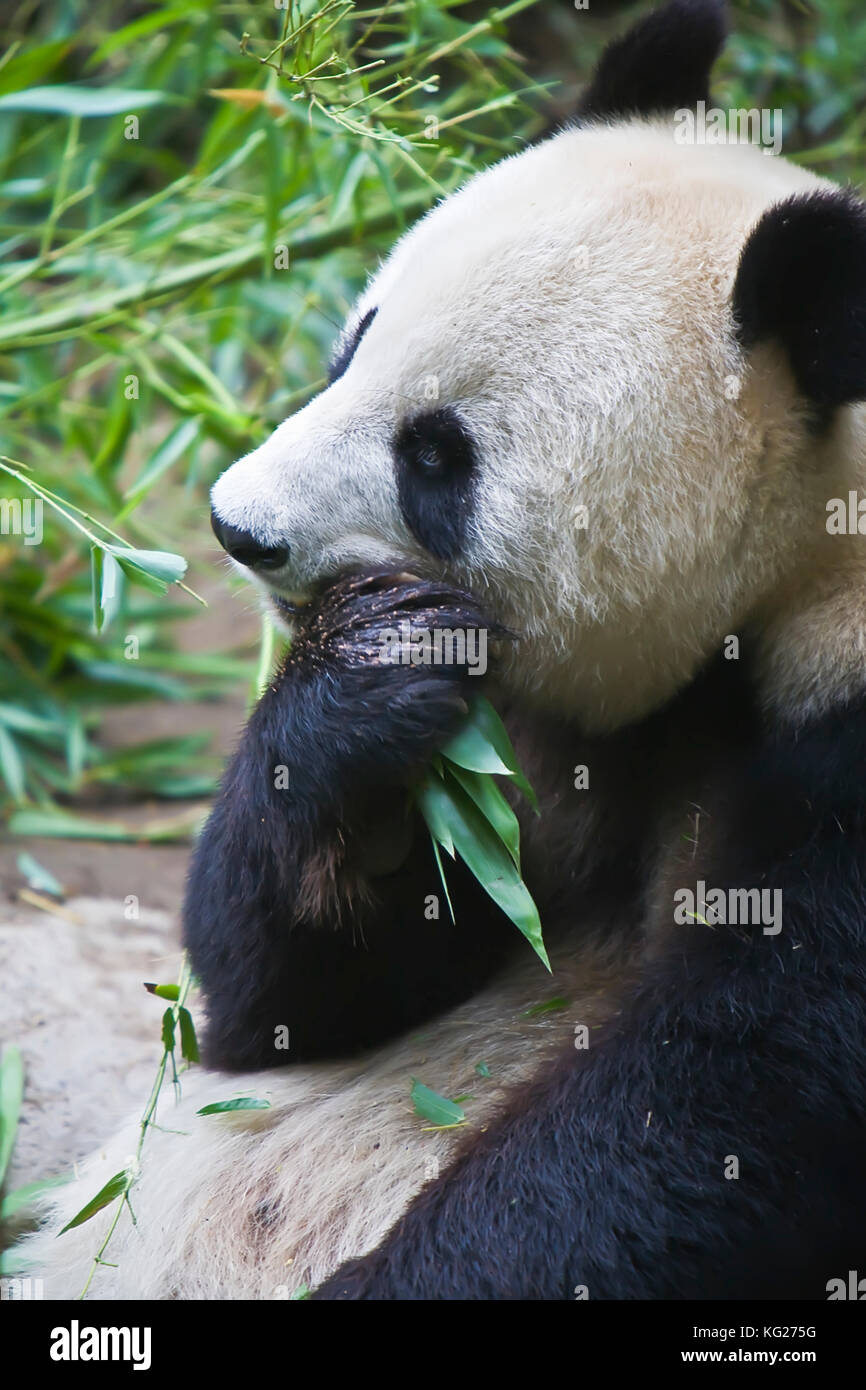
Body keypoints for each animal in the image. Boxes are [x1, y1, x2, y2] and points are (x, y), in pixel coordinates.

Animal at [18, 0, 866, 1300]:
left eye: (435, 455)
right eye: (350, 343)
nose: (234, 526)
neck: (782, 584)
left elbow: (728, 1103)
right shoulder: (527, 737)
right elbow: (285, 1006)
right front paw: (362, 680)